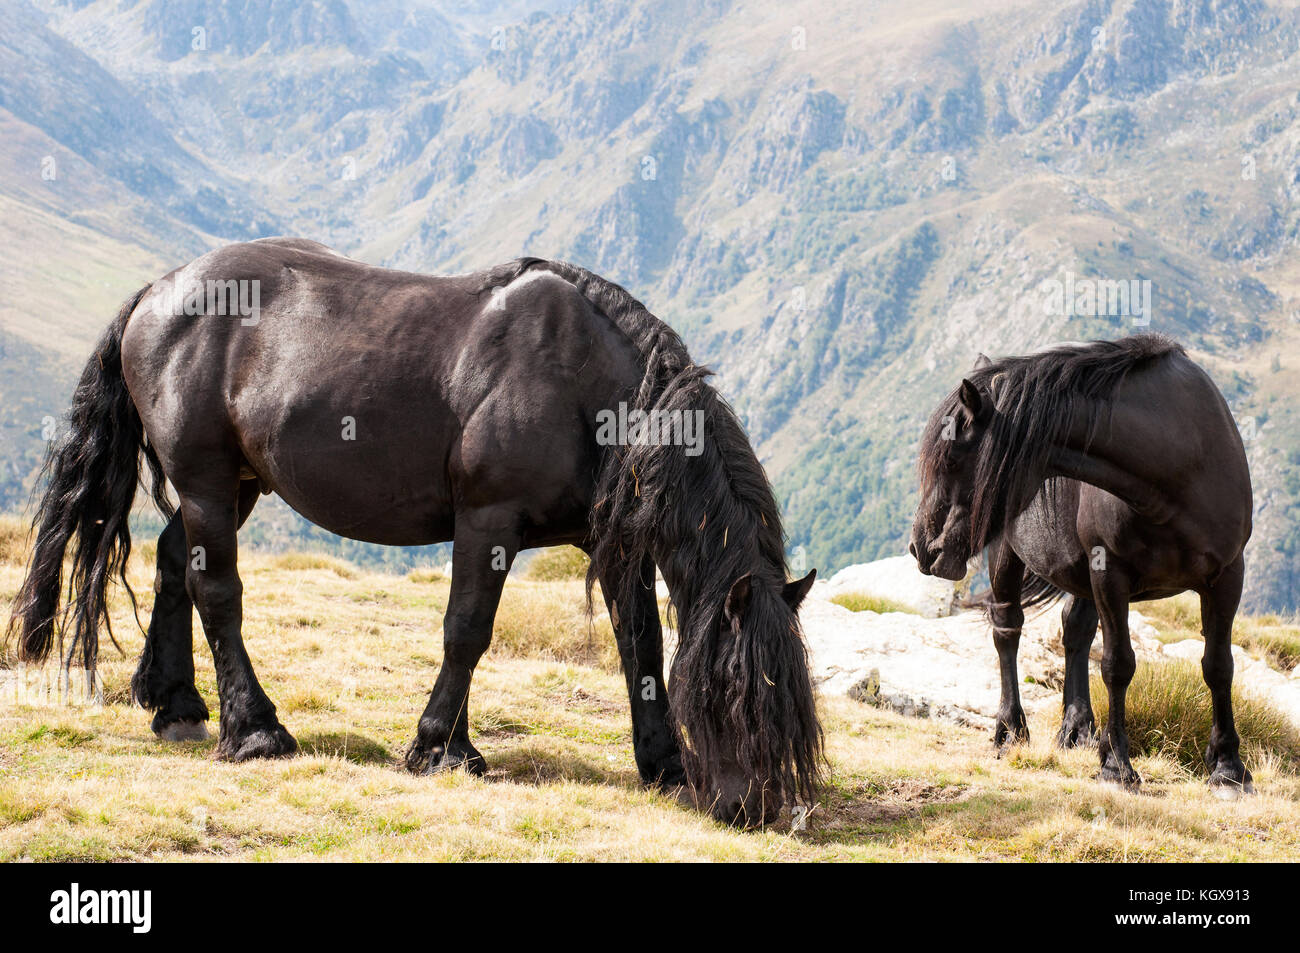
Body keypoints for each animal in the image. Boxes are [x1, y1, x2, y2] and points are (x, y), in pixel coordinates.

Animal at [6, 237, 822, 826]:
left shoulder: (614, 548)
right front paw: (440, 746)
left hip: (238, 483)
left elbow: (641, 646)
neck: (588, 383)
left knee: (175, 560)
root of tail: (158, 290)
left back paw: (176, 704)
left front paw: (662, 764)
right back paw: (257, 731)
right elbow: (467, 631)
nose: (755, 809)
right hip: (207, 479)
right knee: (217, 592)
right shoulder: (488, 521)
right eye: (737, 692)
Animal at [909, 334, 1255, 795]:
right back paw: (1010, 730)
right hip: (1009, 555)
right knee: (1007, 630)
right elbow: (1117, 664)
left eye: (949, 459)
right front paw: (1117, 766)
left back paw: (1077, 729)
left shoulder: (1227, 575)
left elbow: (1218, 666)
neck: (1181, 471)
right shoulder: (1110, 573)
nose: (921, 548)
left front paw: (1228, 767)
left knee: (1075, 630)